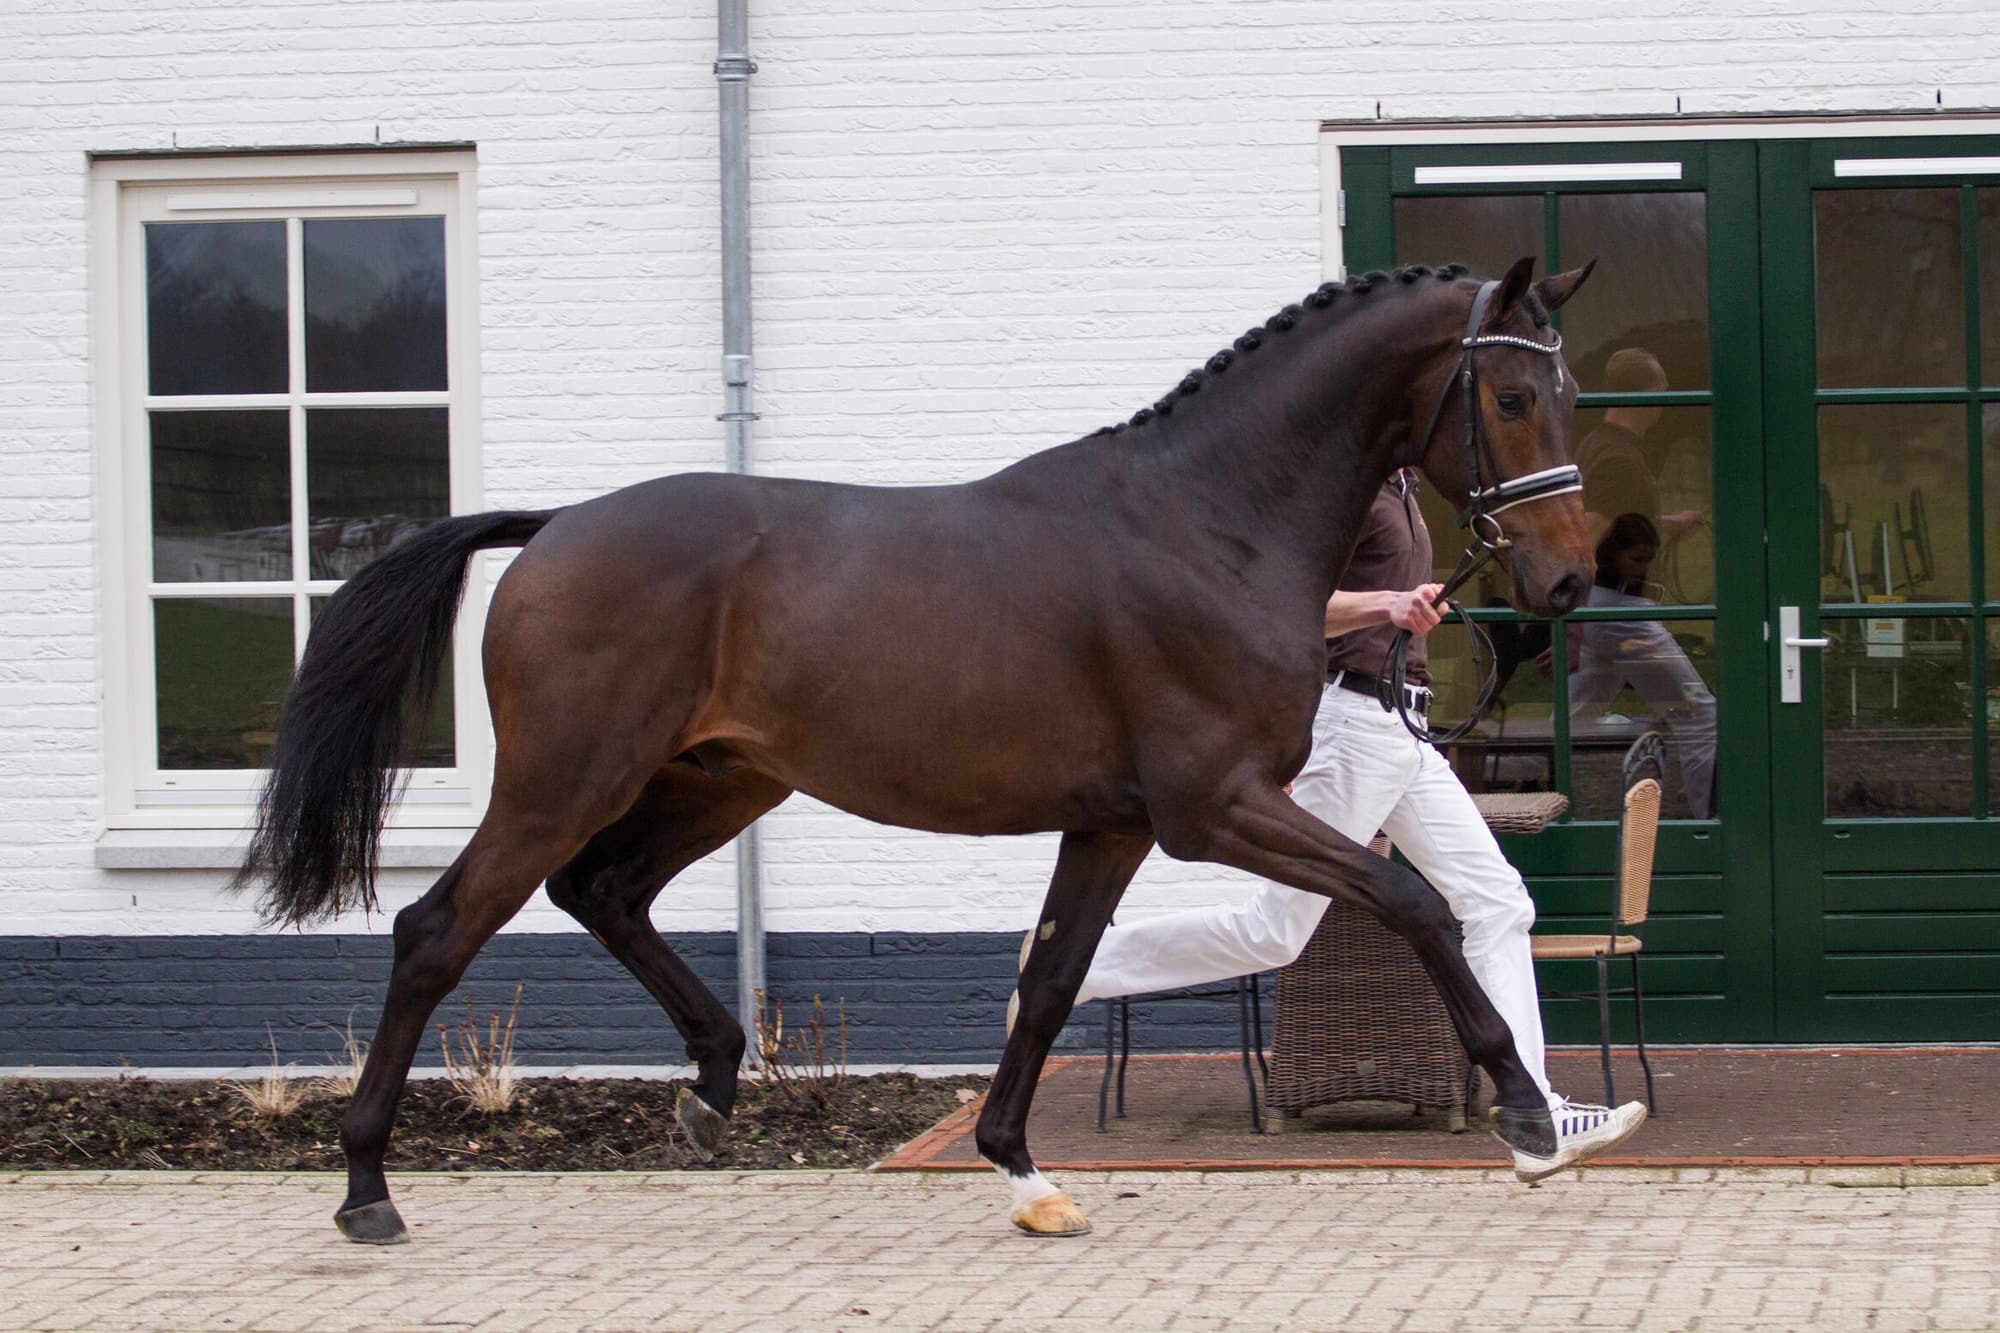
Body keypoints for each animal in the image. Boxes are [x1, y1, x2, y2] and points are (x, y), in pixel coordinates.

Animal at [236, 255, 1596, 1243]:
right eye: (1509, 396)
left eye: (1571, 394)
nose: (1568, 581)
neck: (1206, 524)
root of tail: (557, 525)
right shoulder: (1213, 804)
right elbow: (1411, 903)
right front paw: (1529, 1118)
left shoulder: (1114, 822)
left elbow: (1052, 978)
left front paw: (1020, 1170)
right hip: (564, 779)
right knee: (438, 931)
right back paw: (366, 1189)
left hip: (720, 780)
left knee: (602, 890)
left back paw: (710, 1089)